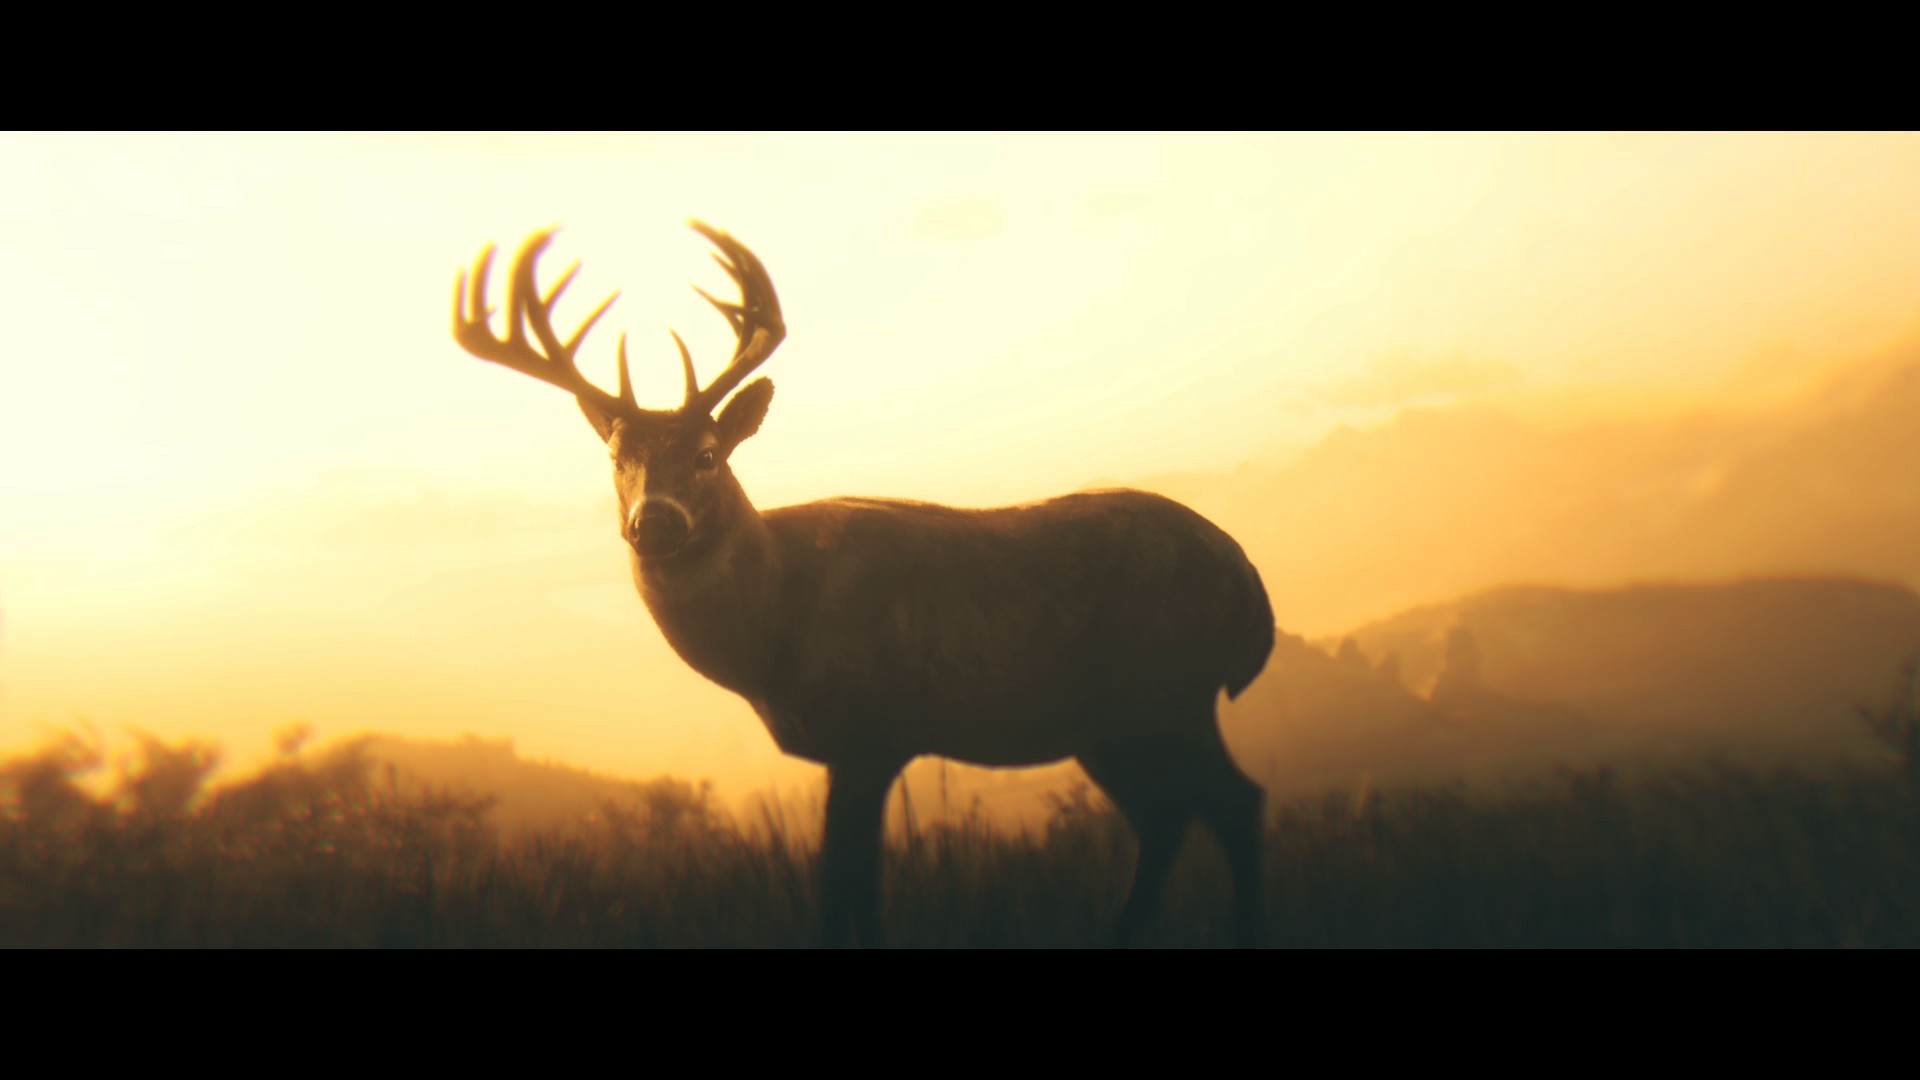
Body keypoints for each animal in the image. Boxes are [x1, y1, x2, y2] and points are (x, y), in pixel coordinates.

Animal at [451, 223, 1276, 947]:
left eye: (710, 453)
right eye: (618, 458)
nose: (654, 521)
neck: (775, 631)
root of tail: (1248, 584)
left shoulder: (872, 728)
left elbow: (848, 885)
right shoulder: (846, 747)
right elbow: (848, 883)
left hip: (1166, 691)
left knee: (1236, 801)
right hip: (1112, 723)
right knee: (1168, 819)